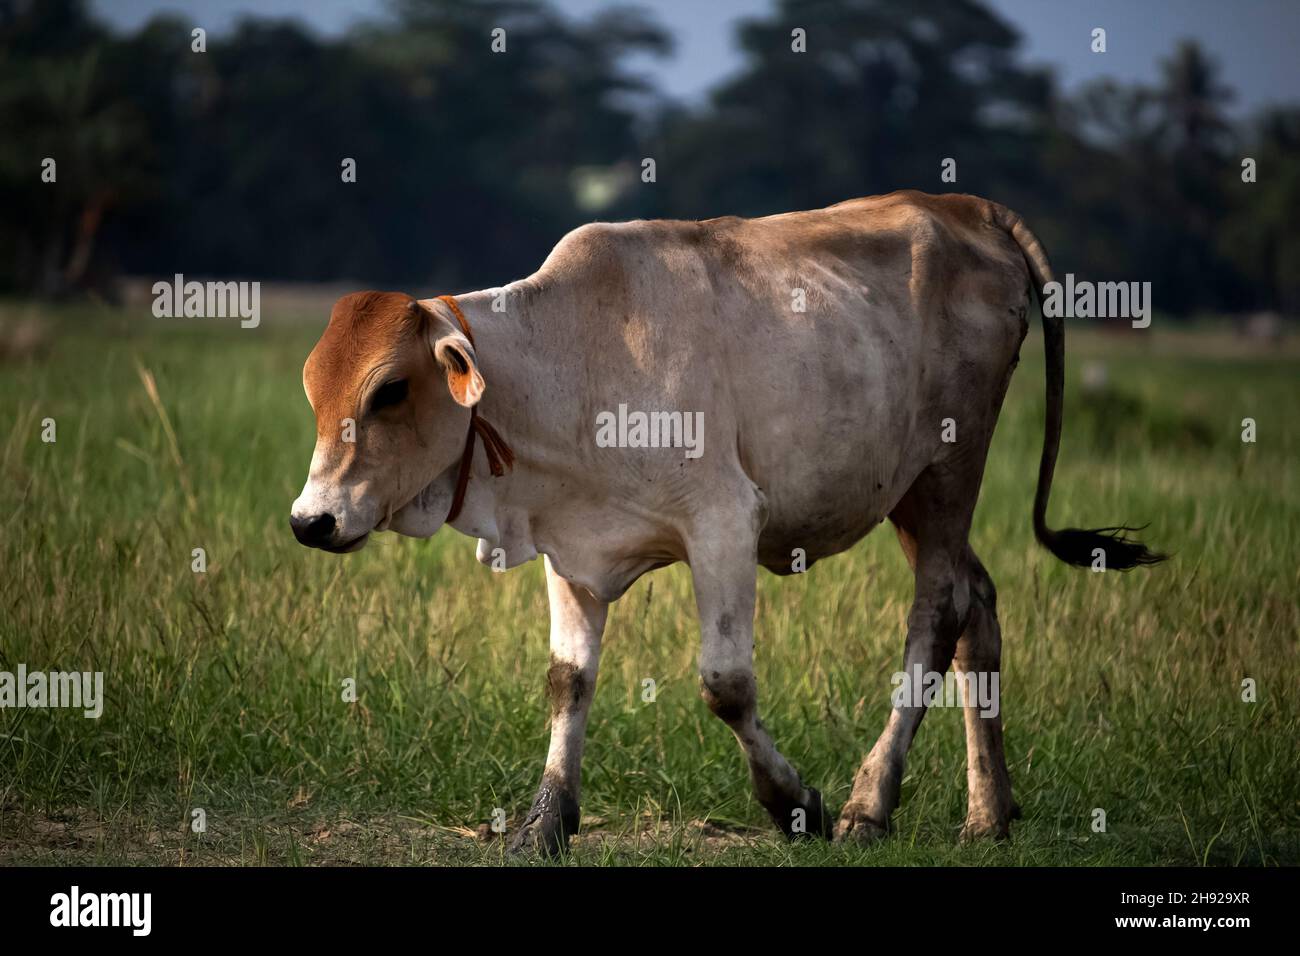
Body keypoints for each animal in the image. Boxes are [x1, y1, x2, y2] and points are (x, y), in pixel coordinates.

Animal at [290, 190, 1163, 854]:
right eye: (313, 392)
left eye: (389, 390)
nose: (311, 521)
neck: (571, 358)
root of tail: (966, 206)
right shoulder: (571, 550)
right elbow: (569, 683)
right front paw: (545, 823)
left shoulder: (723, 524)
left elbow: (726, 686)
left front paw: (795, 803)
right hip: (912, 494)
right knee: (976, 605)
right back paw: (988, 815)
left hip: (954, 467)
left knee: (938, 613)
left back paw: (869, 805)